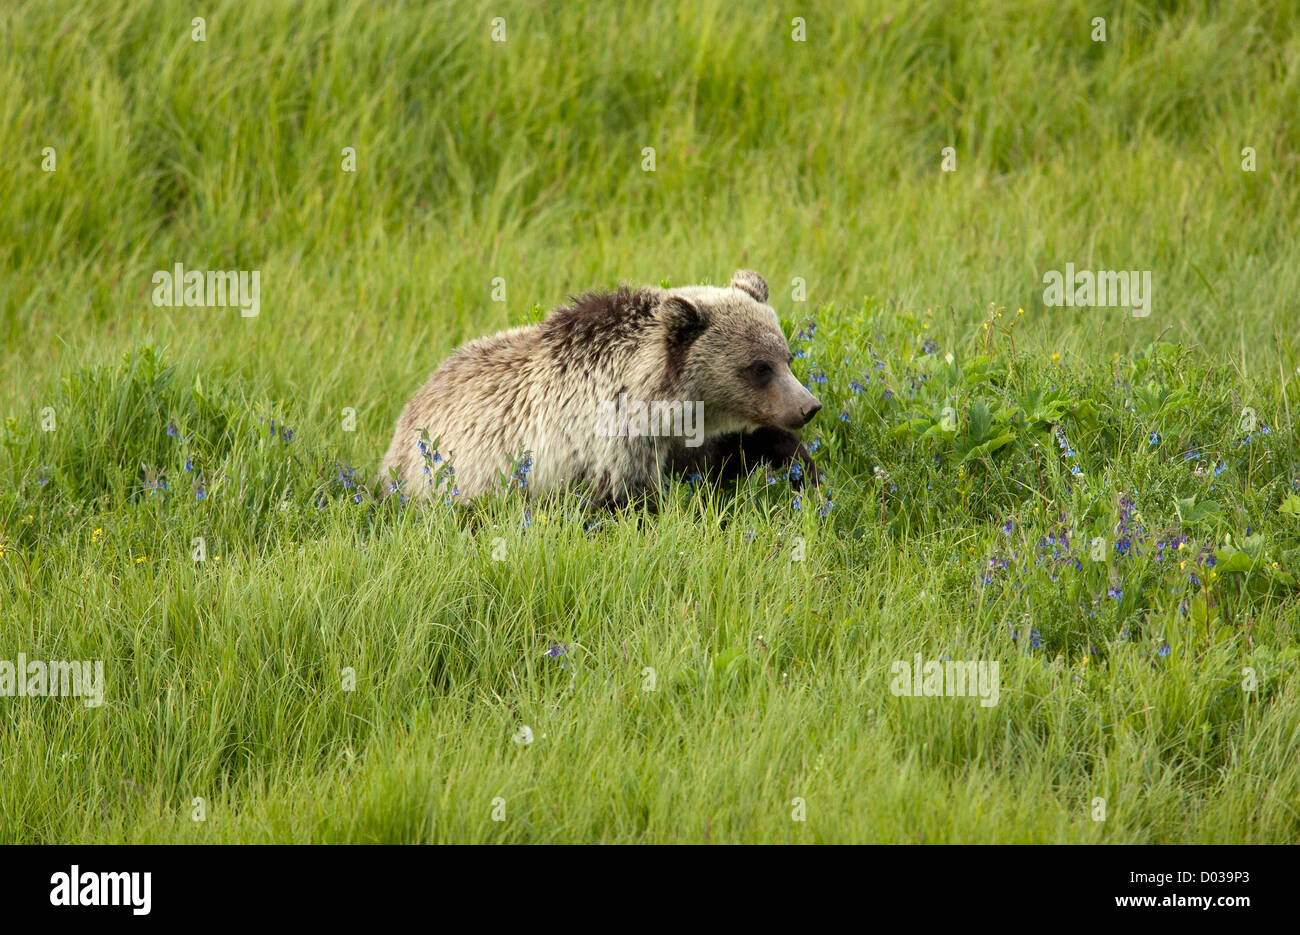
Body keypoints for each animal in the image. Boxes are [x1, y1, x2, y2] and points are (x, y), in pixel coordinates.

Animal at [378, 270, 821, 506]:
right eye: (759, 368)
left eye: (786, 357)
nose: (808, 406)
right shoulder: (611, 445)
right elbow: (633, 500)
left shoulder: (698, 436)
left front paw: (802, 470)